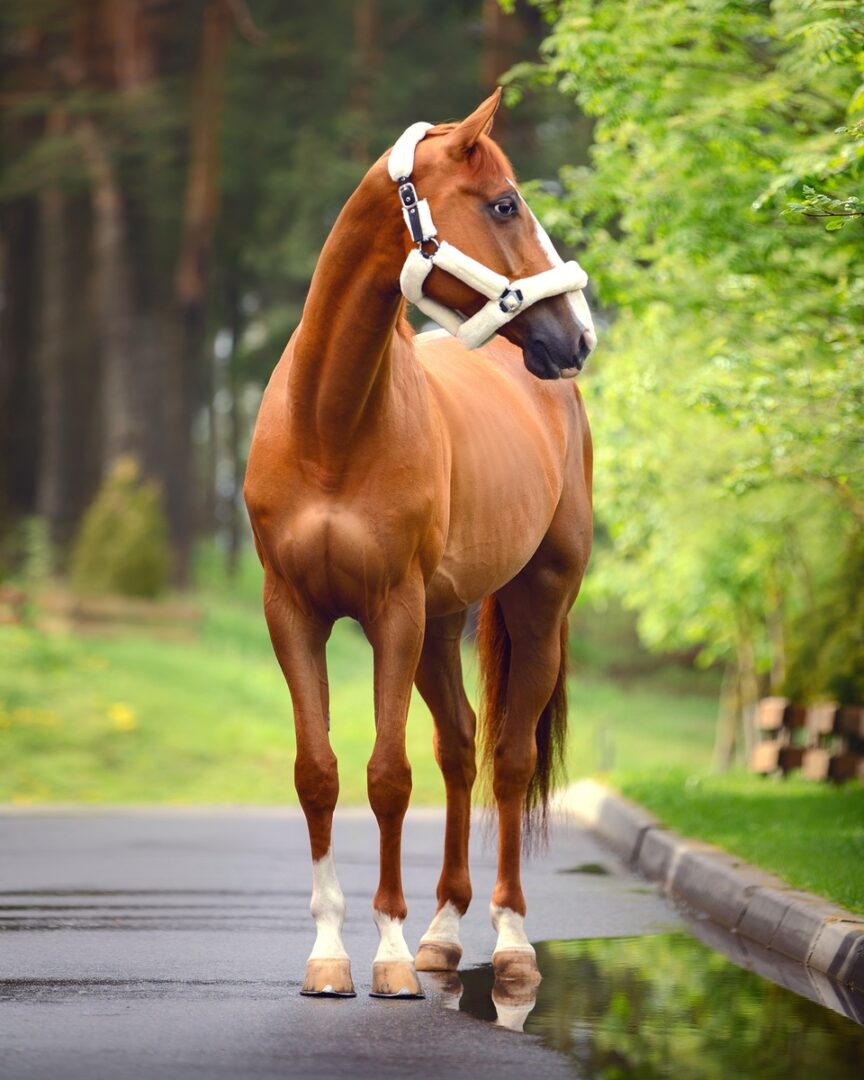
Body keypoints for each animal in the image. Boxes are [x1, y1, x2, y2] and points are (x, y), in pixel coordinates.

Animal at [244, 88, 595, 999]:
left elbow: (387, 776)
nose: (579, 335)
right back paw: (443, 932)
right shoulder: (292, 612)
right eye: (504, 204)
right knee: (463, 747)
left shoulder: (390, 612)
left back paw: (508, 942)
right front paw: (330, 957)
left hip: (537, 603)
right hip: (442, 624)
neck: (330, 427)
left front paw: (391, 956)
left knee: (509, 758)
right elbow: (320, 773)